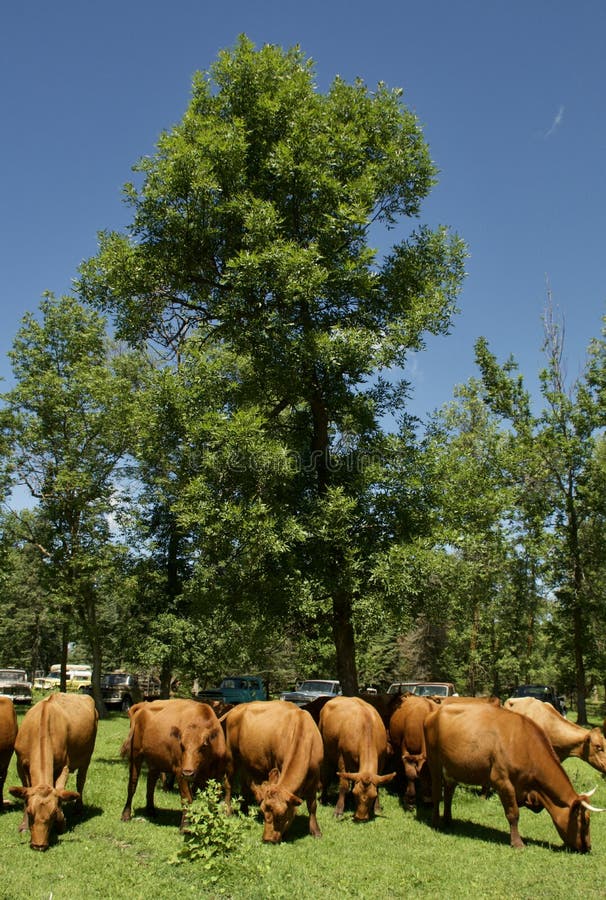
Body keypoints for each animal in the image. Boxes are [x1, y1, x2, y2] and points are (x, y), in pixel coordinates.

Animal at [9, 693, 98, 851]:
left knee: (80, 782)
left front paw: (61, 822)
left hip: (87, 757)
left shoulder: (63, 765)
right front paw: (24, 826)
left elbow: (60, 790)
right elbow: (25, 790)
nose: (38, 845)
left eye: (53, 814)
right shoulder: (20, 763)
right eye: (30, 813)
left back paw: (78, 808)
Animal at [120, 698, 226, 830]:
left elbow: (215, 800)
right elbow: (187, 798)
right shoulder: (179, 771)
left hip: (156, 760)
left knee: (150, 784)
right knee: (132, 784)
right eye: (182, 746)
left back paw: (151, 811)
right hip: (136, 756)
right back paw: (126, 815)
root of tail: (144, 704)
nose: (188, 772)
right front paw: (185, 827)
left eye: (203, 746)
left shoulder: (218, 775)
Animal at [222, 700, 323, 843]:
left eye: (281, 814)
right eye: (263, 811)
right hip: (231, 756)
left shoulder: (316, 775)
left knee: (245, 784)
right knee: (229, 783)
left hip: (246, 761)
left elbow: (312, 805)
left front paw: (316, 831)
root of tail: (238, 707)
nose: (267, 839)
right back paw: (228, 811)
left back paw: (244, 809)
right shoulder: (278, 764)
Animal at [424, 701, 604, 851]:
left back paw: (448, 820)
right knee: (437, 792)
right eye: (585, 821)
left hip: (453, 767)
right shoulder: (502, 781)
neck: (526, 746)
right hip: (434, 762)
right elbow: (513, 813)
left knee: (448, 792)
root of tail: (436, 711)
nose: (588, 847)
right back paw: (436, 822)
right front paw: (517, 843)